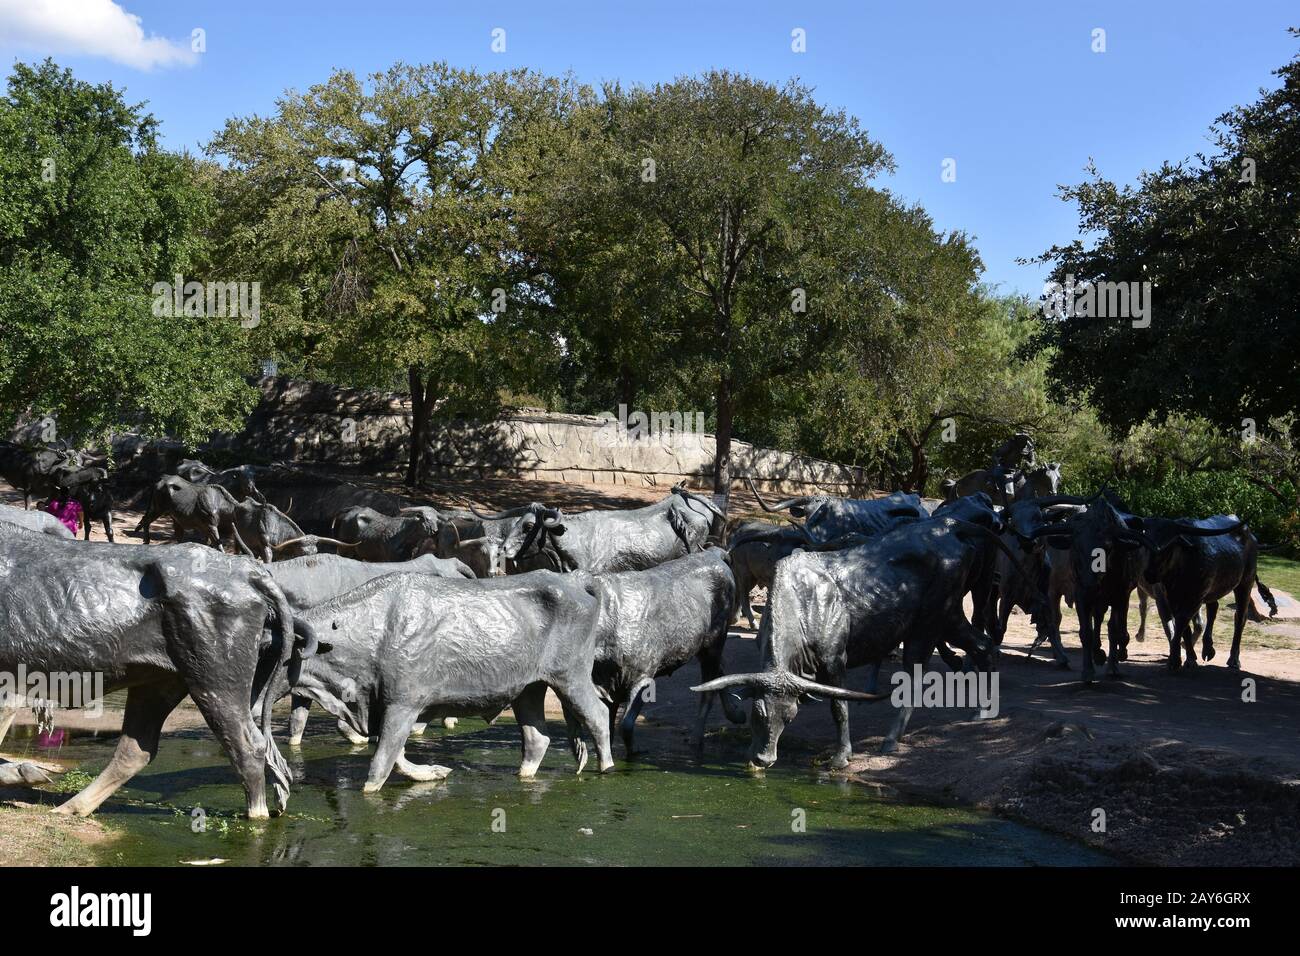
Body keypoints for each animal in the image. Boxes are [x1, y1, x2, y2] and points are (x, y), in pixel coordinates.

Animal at [0, 523, 301, 818]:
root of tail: (247, 571)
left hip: (216, 682)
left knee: (247, 747)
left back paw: (257, 817)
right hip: (159, 682)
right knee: (136, 750)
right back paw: (70, 807)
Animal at [286, 570, 616, 791]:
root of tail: (574, 581)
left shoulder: (403, 705)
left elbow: (381, 764)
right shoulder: (385, 710)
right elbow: (394, 755)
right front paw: (434, 772)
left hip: (570, 678)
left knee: (598, 716)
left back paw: (607, 768)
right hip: (529, 689)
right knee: (537, 738)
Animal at [693, 517, 1039, 769]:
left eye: (789, 717)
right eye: (759, 714)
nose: (764, 759)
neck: (803, 602)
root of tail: (951, 525)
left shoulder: (836, 661)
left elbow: (839, 708)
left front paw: (841, 756)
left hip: (928, 625)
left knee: (916, 679)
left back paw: (891, 739)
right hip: (950, 617)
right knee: (984, 647)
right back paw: (984, 711)